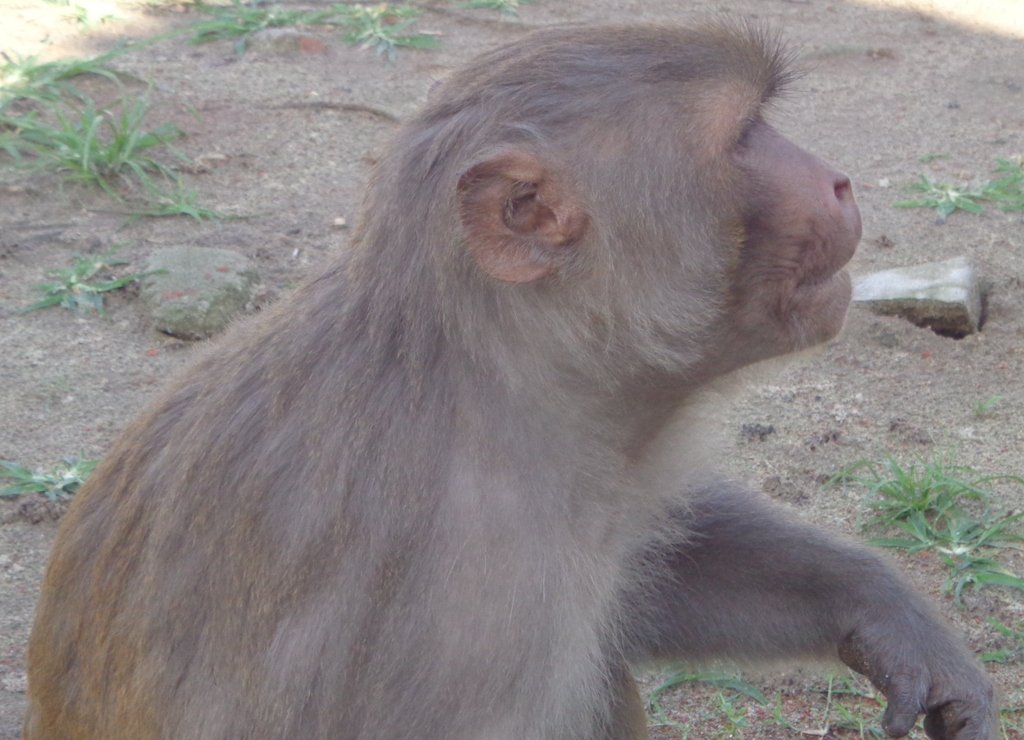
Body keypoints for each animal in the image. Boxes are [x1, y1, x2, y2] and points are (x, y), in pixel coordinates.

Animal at [24, 24, 995, 740]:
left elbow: (643, 590)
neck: (491, 386)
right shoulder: (468, 603)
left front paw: (884, 613)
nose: (837, 181)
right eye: (748, 134)